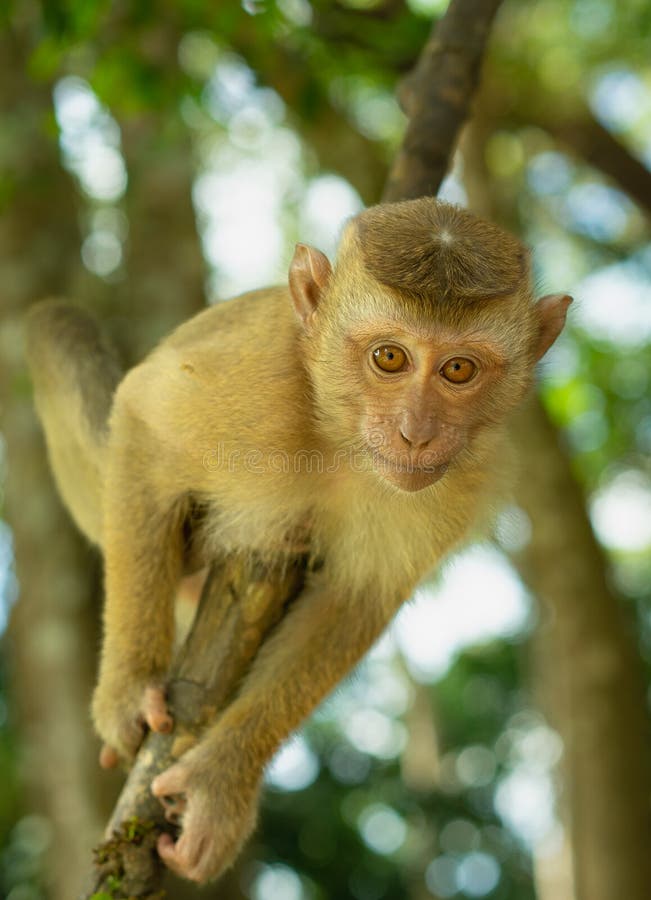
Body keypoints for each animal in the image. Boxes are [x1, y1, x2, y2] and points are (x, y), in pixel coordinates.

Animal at [26, 197, 571, 883]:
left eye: (458, 369)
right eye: (389, 358)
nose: (416, 432)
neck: (340, 436)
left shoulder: (459, 483)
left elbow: (354, 599)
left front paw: (221, 781)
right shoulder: (252, 387)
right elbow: (145, 418)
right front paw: (128, 688)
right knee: (57, 326)